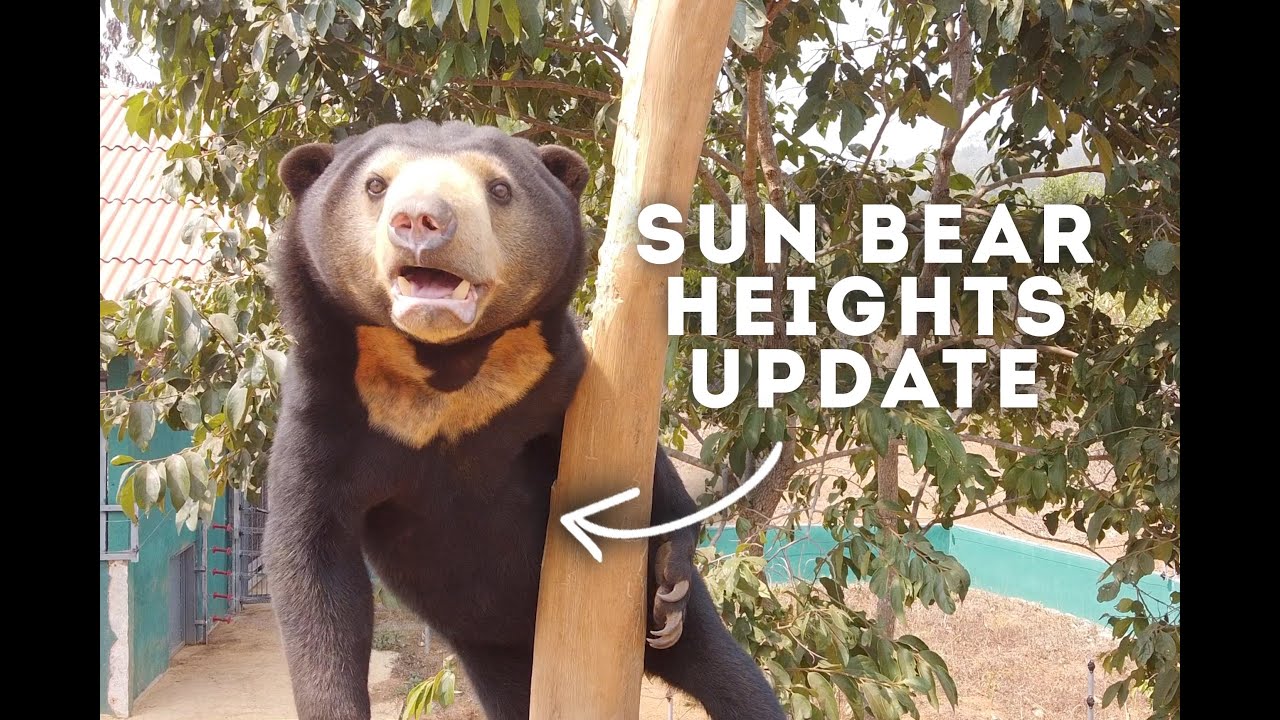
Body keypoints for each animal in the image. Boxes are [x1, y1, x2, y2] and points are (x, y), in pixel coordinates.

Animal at [265, 119, 786, 720]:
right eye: (375, 185)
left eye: (499, 189)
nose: (421, 220)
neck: (447, 369)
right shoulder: (327, 408)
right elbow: (312, 556)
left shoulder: (555, 376)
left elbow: (641, 460)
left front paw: (671, 564)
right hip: (493, 654)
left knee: (728, 674)